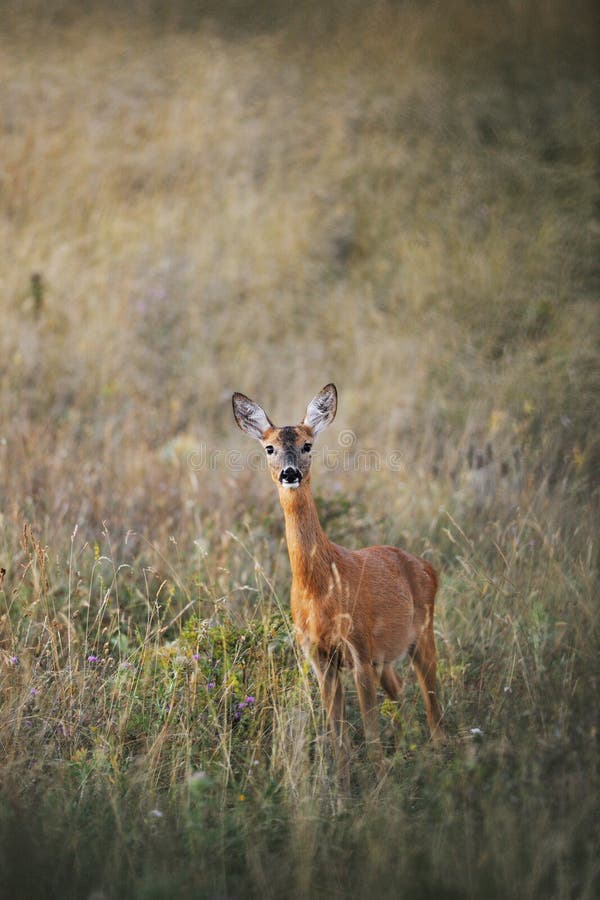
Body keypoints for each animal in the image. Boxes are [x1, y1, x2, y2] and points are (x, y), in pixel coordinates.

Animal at [232, 383, 444, 783]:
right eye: (269, 447)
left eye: (307, 445)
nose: (289, 474)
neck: (320, 588)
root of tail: (427, 566)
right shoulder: (318, 655)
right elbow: (338, 734)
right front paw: (344, 785)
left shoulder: (358, 647)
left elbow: (370, 729)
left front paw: (379, 781)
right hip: (386, 658)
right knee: (401, 690)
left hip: (423, 633)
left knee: (433, 702)